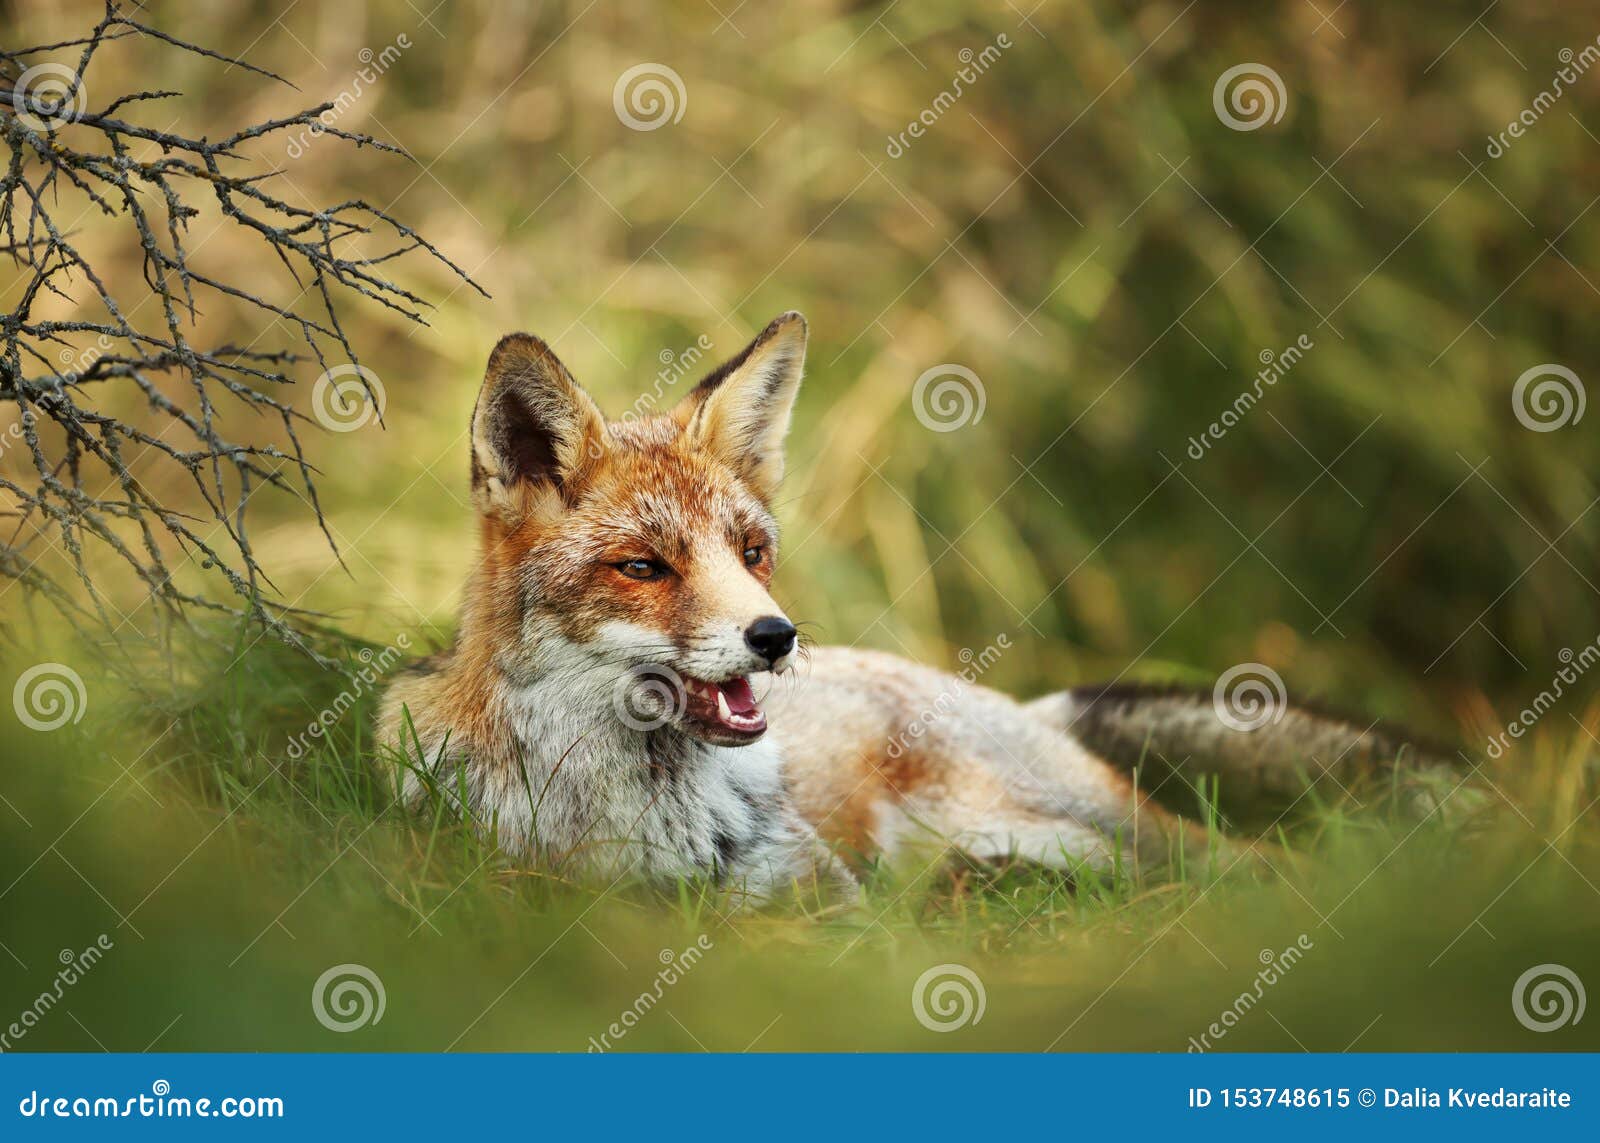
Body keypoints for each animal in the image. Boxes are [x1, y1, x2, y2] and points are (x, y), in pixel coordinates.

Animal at [377, 311, 1452, 905]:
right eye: (643, 566)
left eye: (753, 554)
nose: (776, 637)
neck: (642, 816)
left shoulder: (830, 905)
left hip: (1096, 830)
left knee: (1254, 864)